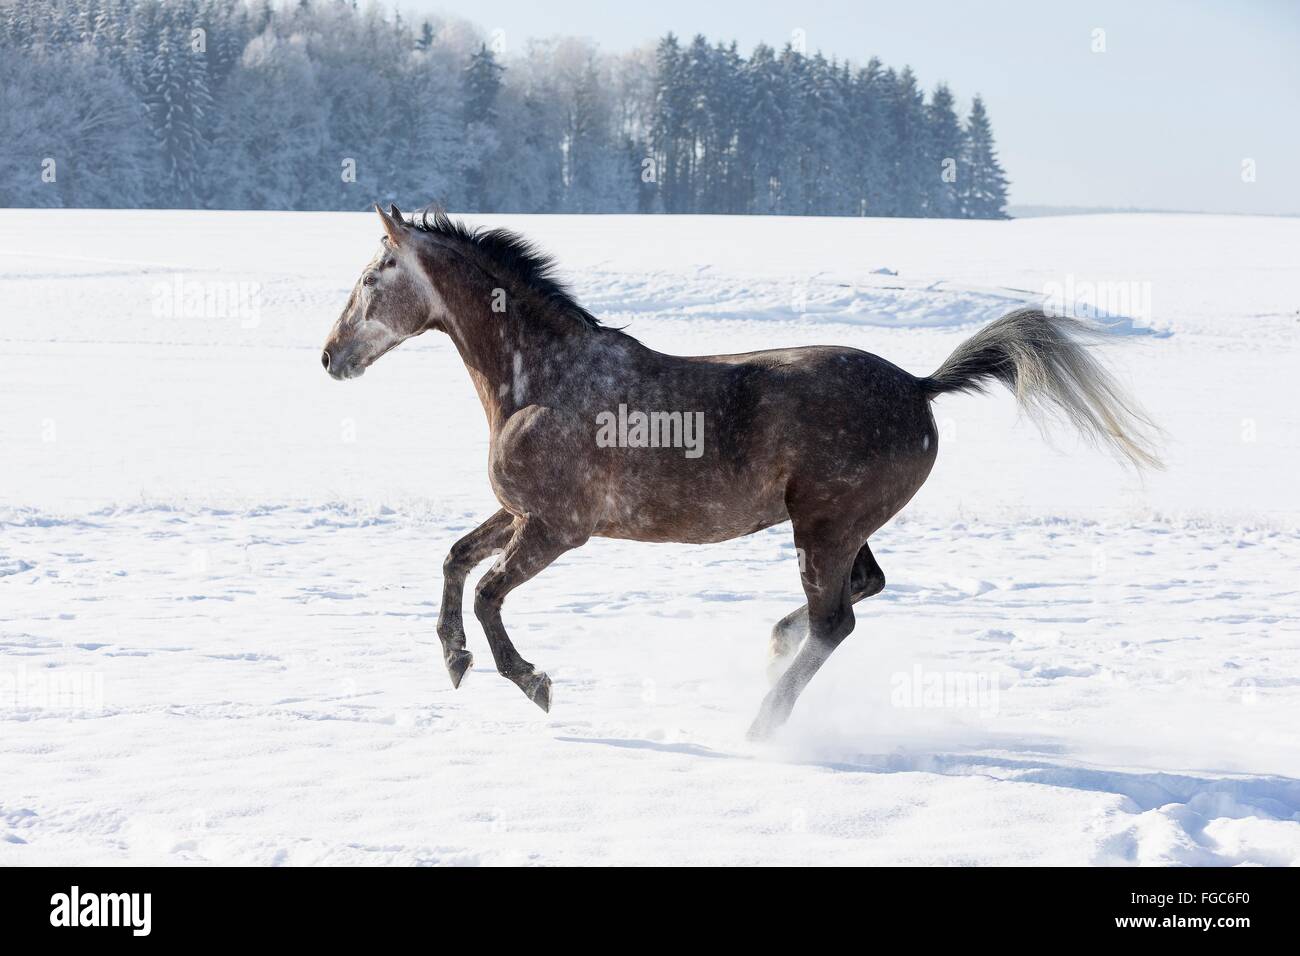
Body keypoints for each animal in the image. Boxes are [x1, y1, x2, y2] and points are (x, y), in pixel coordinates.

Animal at [321, 203, 1160, 739]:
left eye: (371, 277)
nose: (330, 356)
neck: (544, 378)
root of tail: (921, 388)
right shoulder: (521, 512)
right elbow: (455, 559)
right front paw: (453, 659)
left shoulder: (559, 528)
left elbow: (490, 592)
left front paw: (533, 684)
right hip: (840, 526)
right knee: (858, 593)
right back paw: (773, 647)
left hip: (824, 525)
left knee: (836, 620)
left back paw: (760, 725)